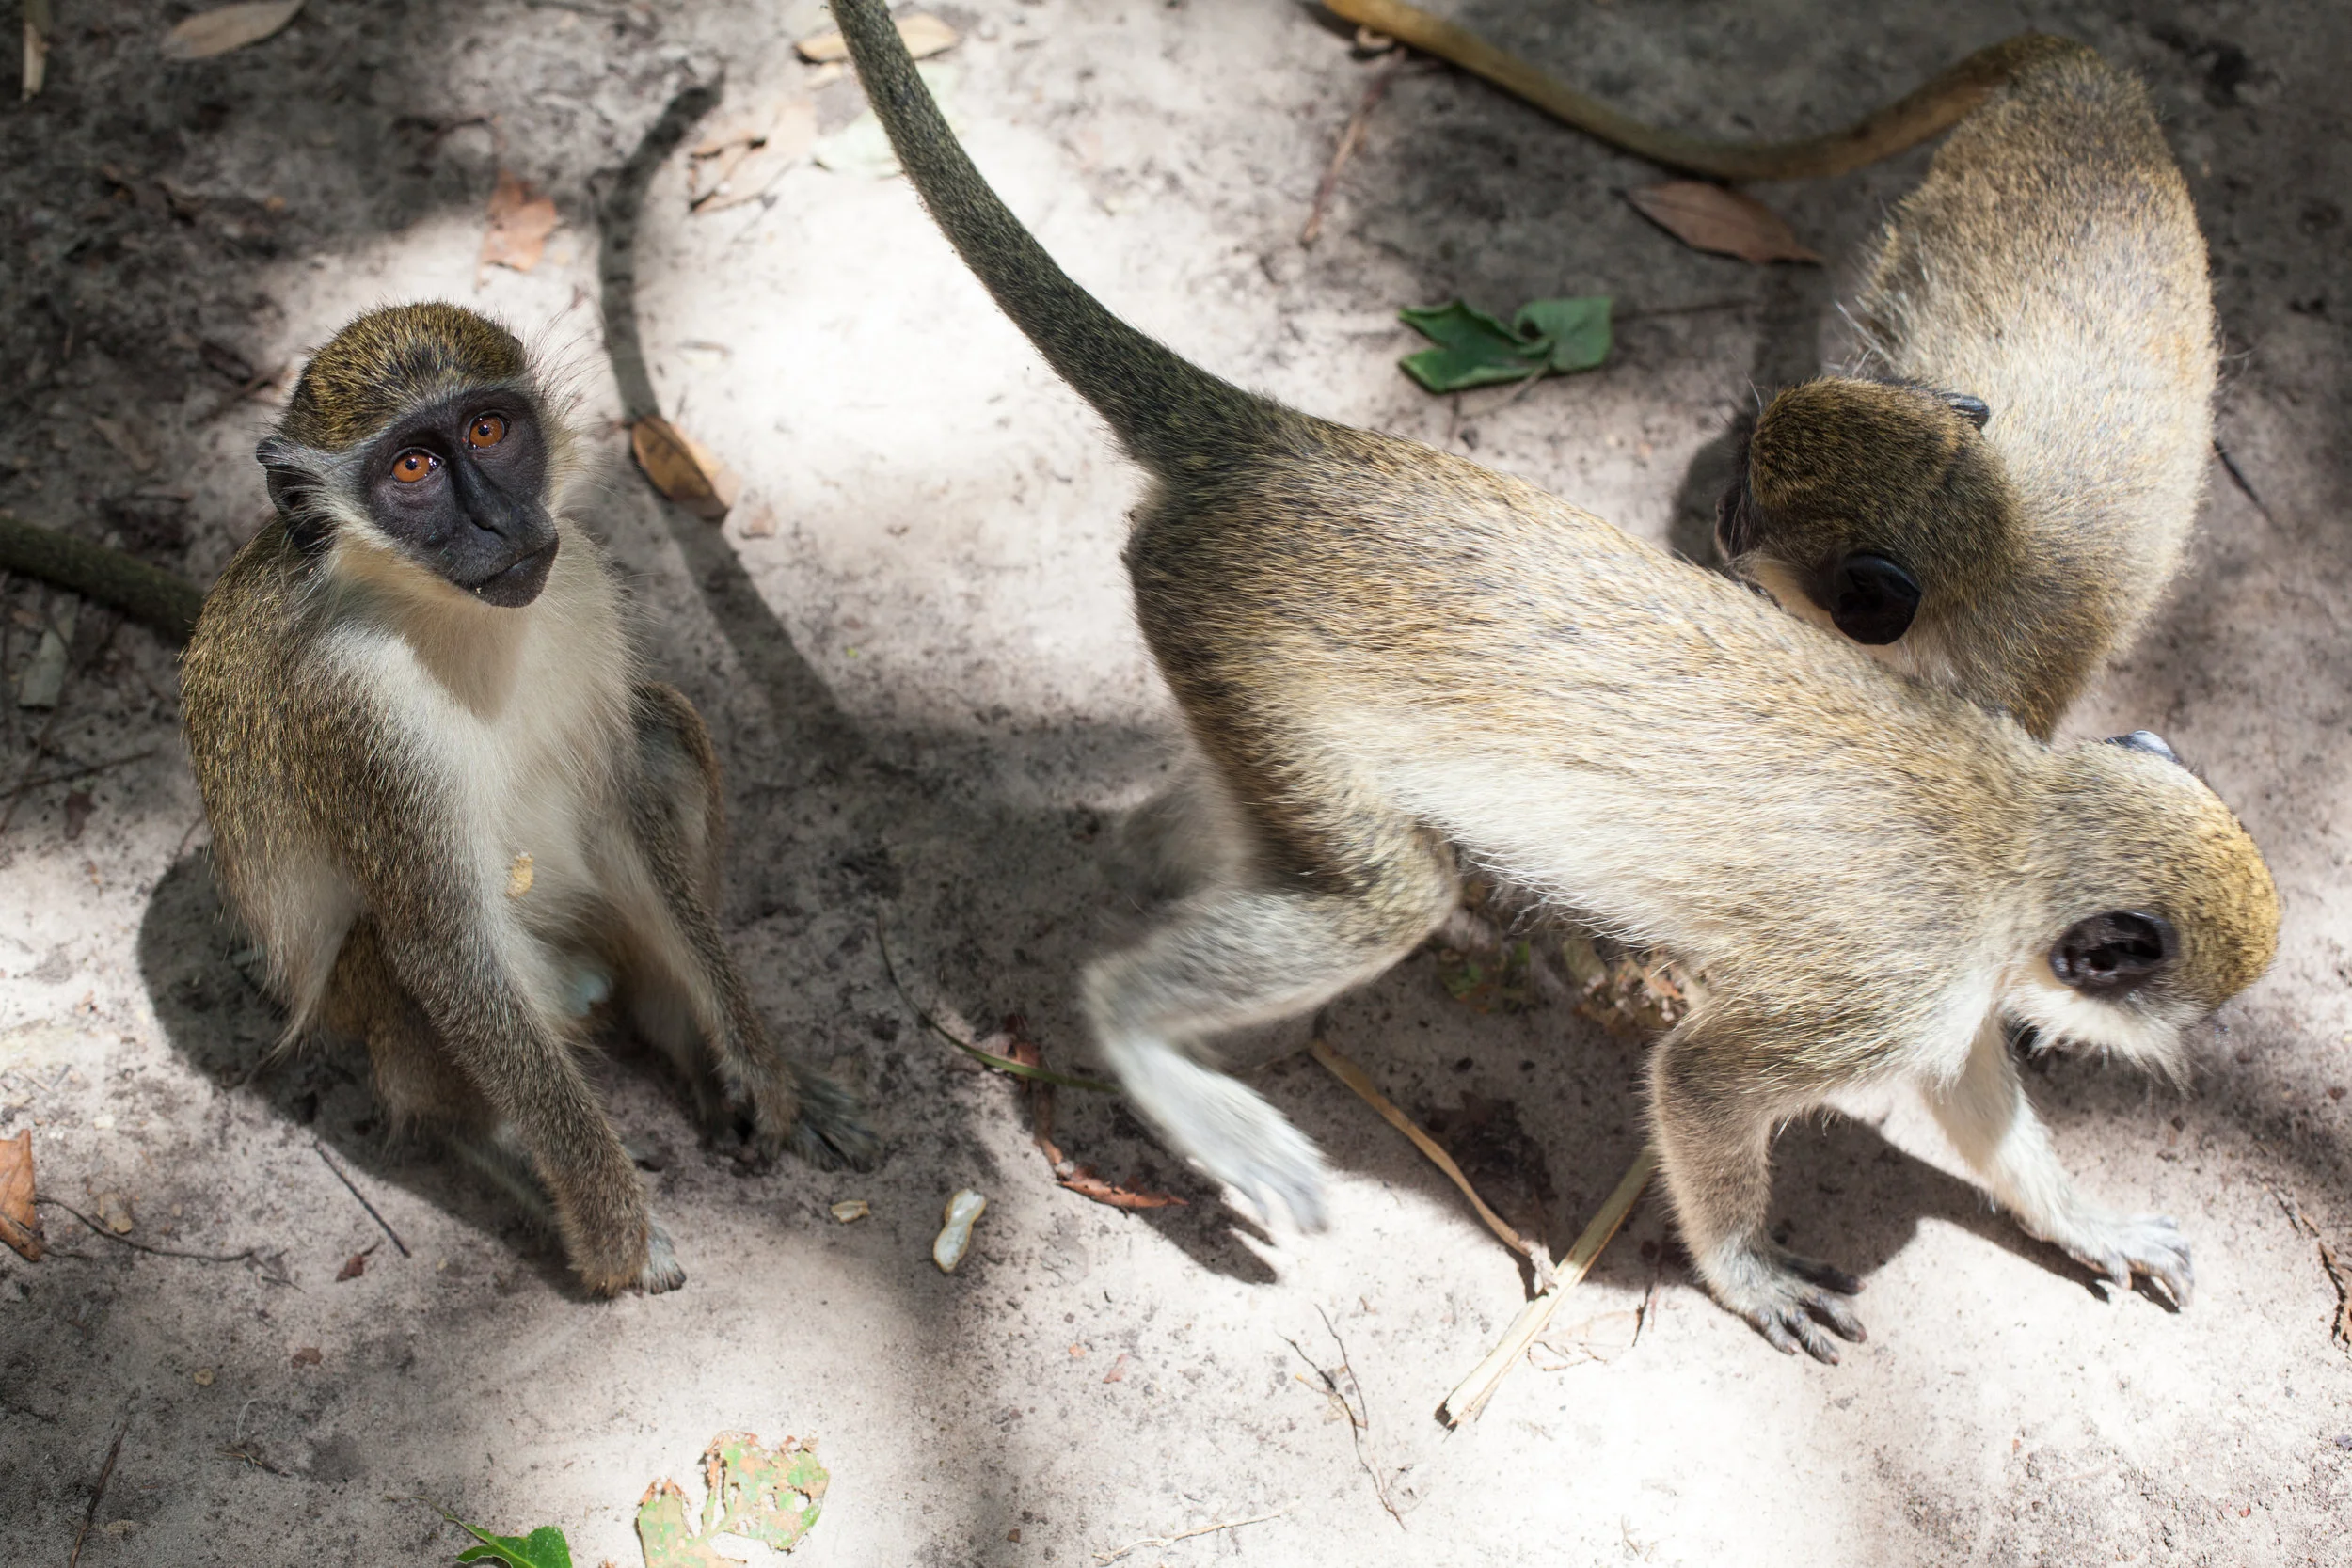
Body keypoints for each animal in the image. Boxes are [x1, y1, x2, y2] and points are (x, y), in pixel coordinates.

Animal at [178, 302, 877, 1296]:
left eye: (487, 429)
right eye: (412, 468)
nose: (500, 520)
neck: (454, 619)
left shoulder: (576, 574)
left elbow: (623, 804)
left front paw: (759, 1070)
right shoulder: (355, 709)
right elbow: (446, 949)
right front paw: (615, 1230)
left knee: (663, 731)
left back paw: (699, 1053)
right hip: (384, 996)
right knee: (404, 970)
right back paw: (498, 1151)